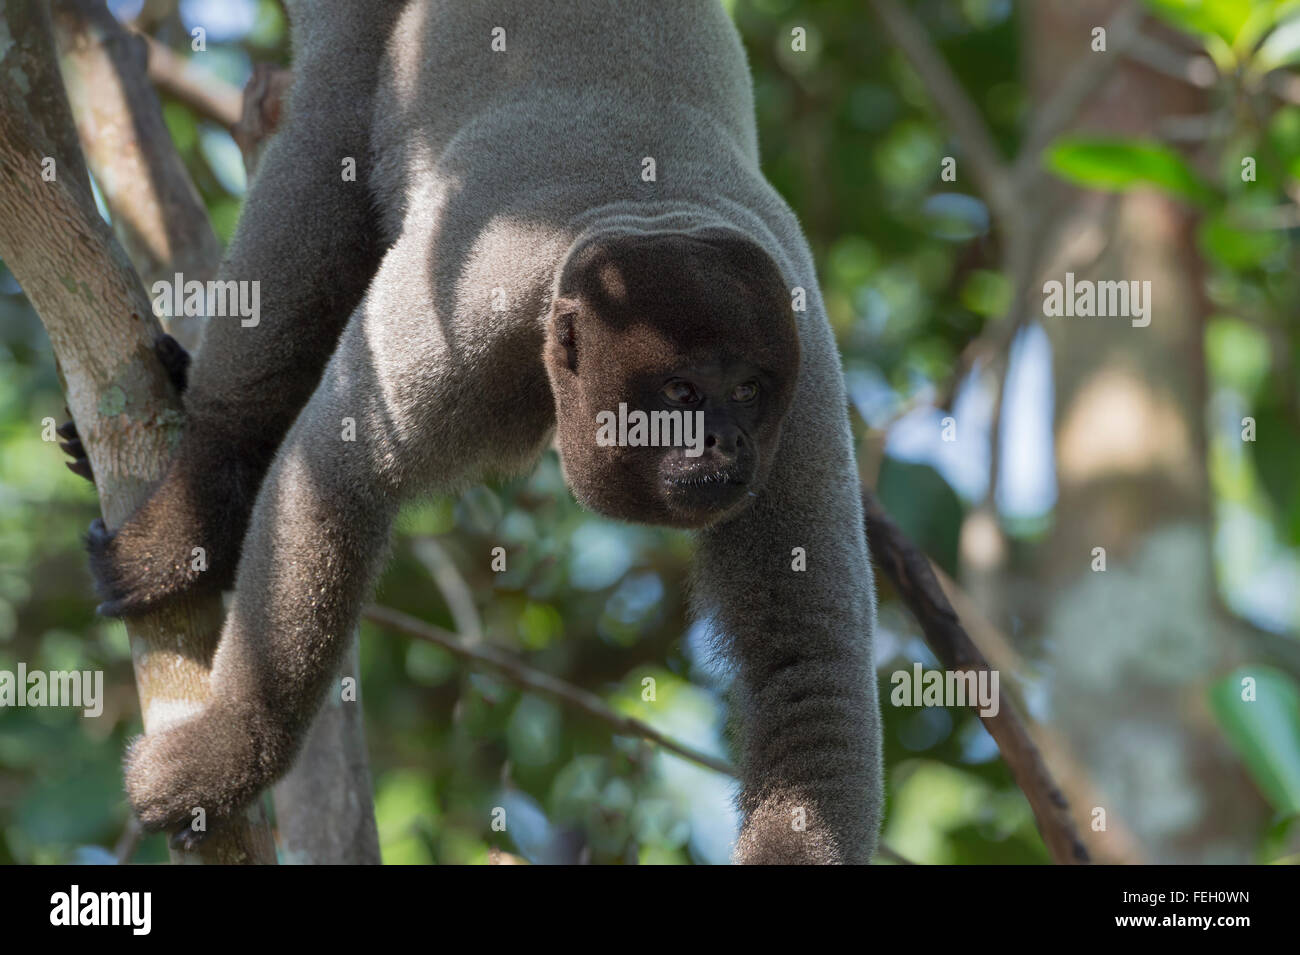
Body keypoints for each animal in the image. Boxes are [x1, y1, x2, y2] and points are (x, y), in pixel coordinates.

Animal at [65, 0, 883, 864]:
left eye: (749, 390)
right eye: (681, 391)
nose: (727, 441)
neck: (646, 207)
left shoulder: (805, 391)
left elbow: (809, 662)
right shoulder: (471, 300)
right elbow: (333, 471)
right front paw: (232, 746)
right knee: (325, 135)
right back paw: (199, 500)